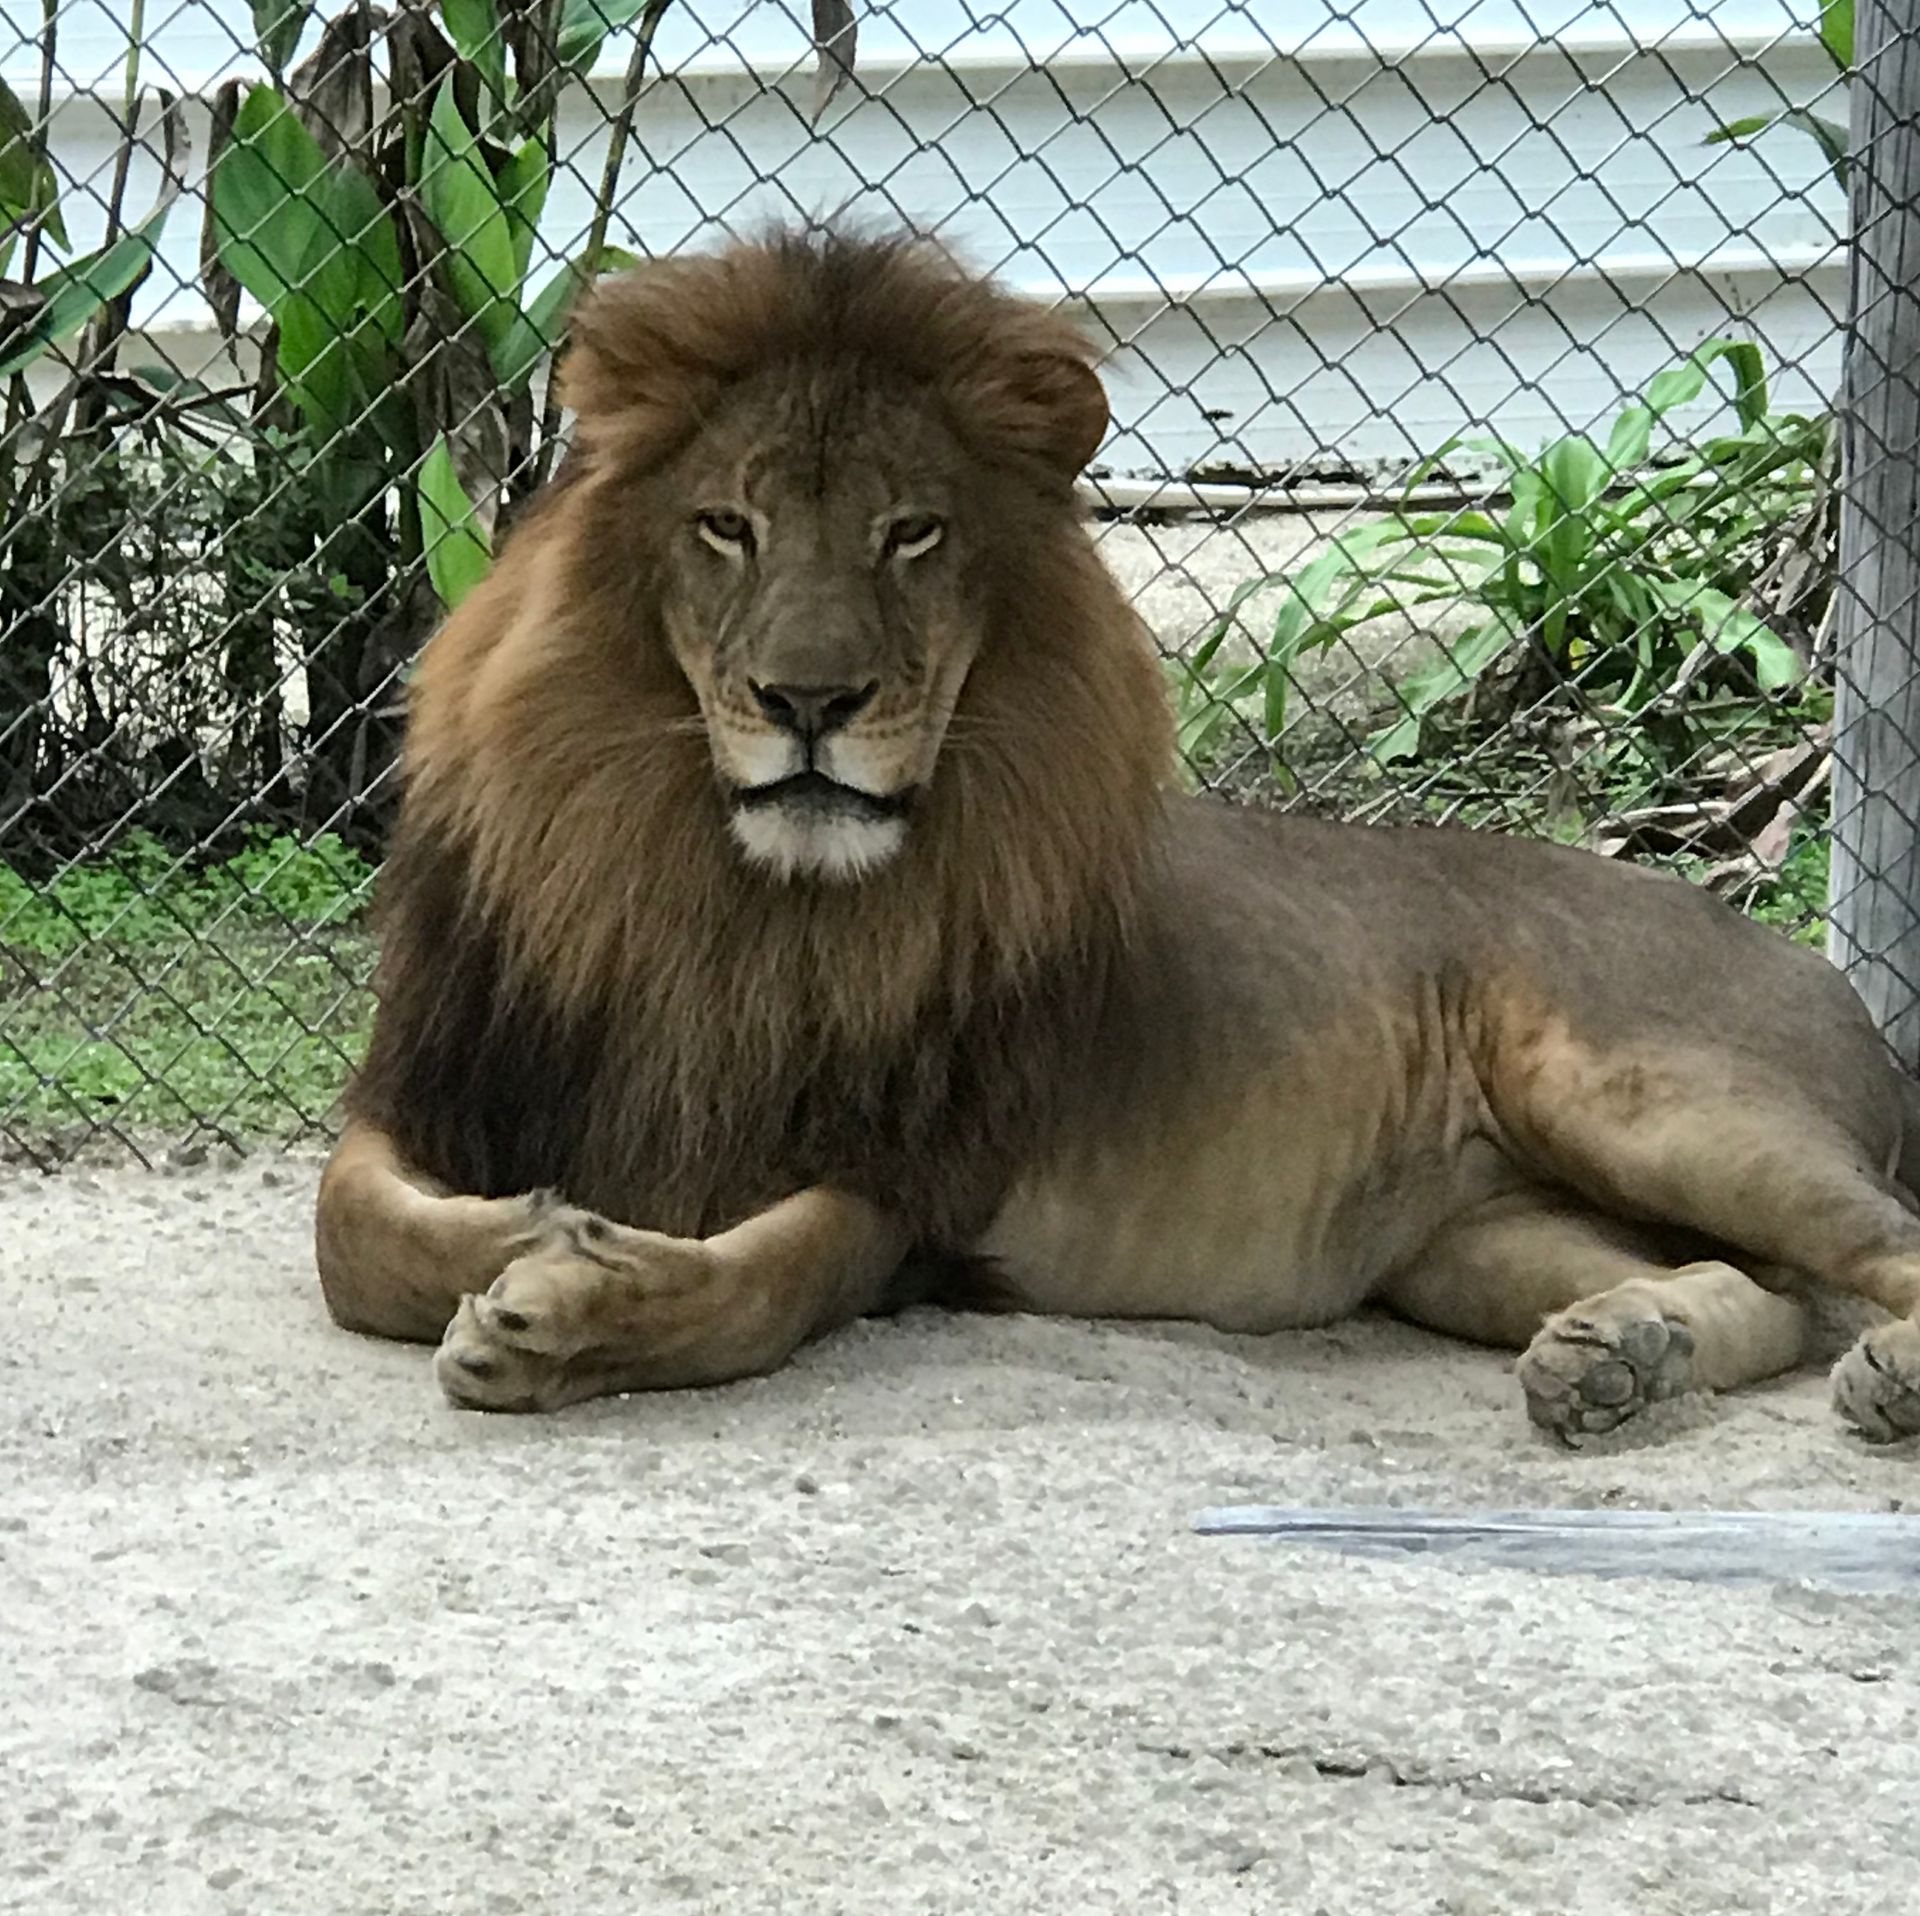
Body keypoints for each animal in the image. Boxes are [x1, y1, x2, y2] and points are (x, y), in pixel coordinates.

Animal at [315, 224, 1920, 1443]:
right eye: (727, 526)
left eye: (913, 532)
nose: (811, 701)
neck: (720, 889)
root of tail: (1828, 976)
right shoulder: (439, 1080)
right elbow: (355, 1237)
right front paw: (538, 1225)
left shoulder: (907, 1184)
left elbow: (750, 1288)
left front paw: (560, 1305)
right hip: (1475, 1240)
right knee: (1776, 1297)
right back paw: (1622, 1356)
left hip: (1639, 1100)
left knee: (1877, 1249)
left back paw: (1879, 1377)